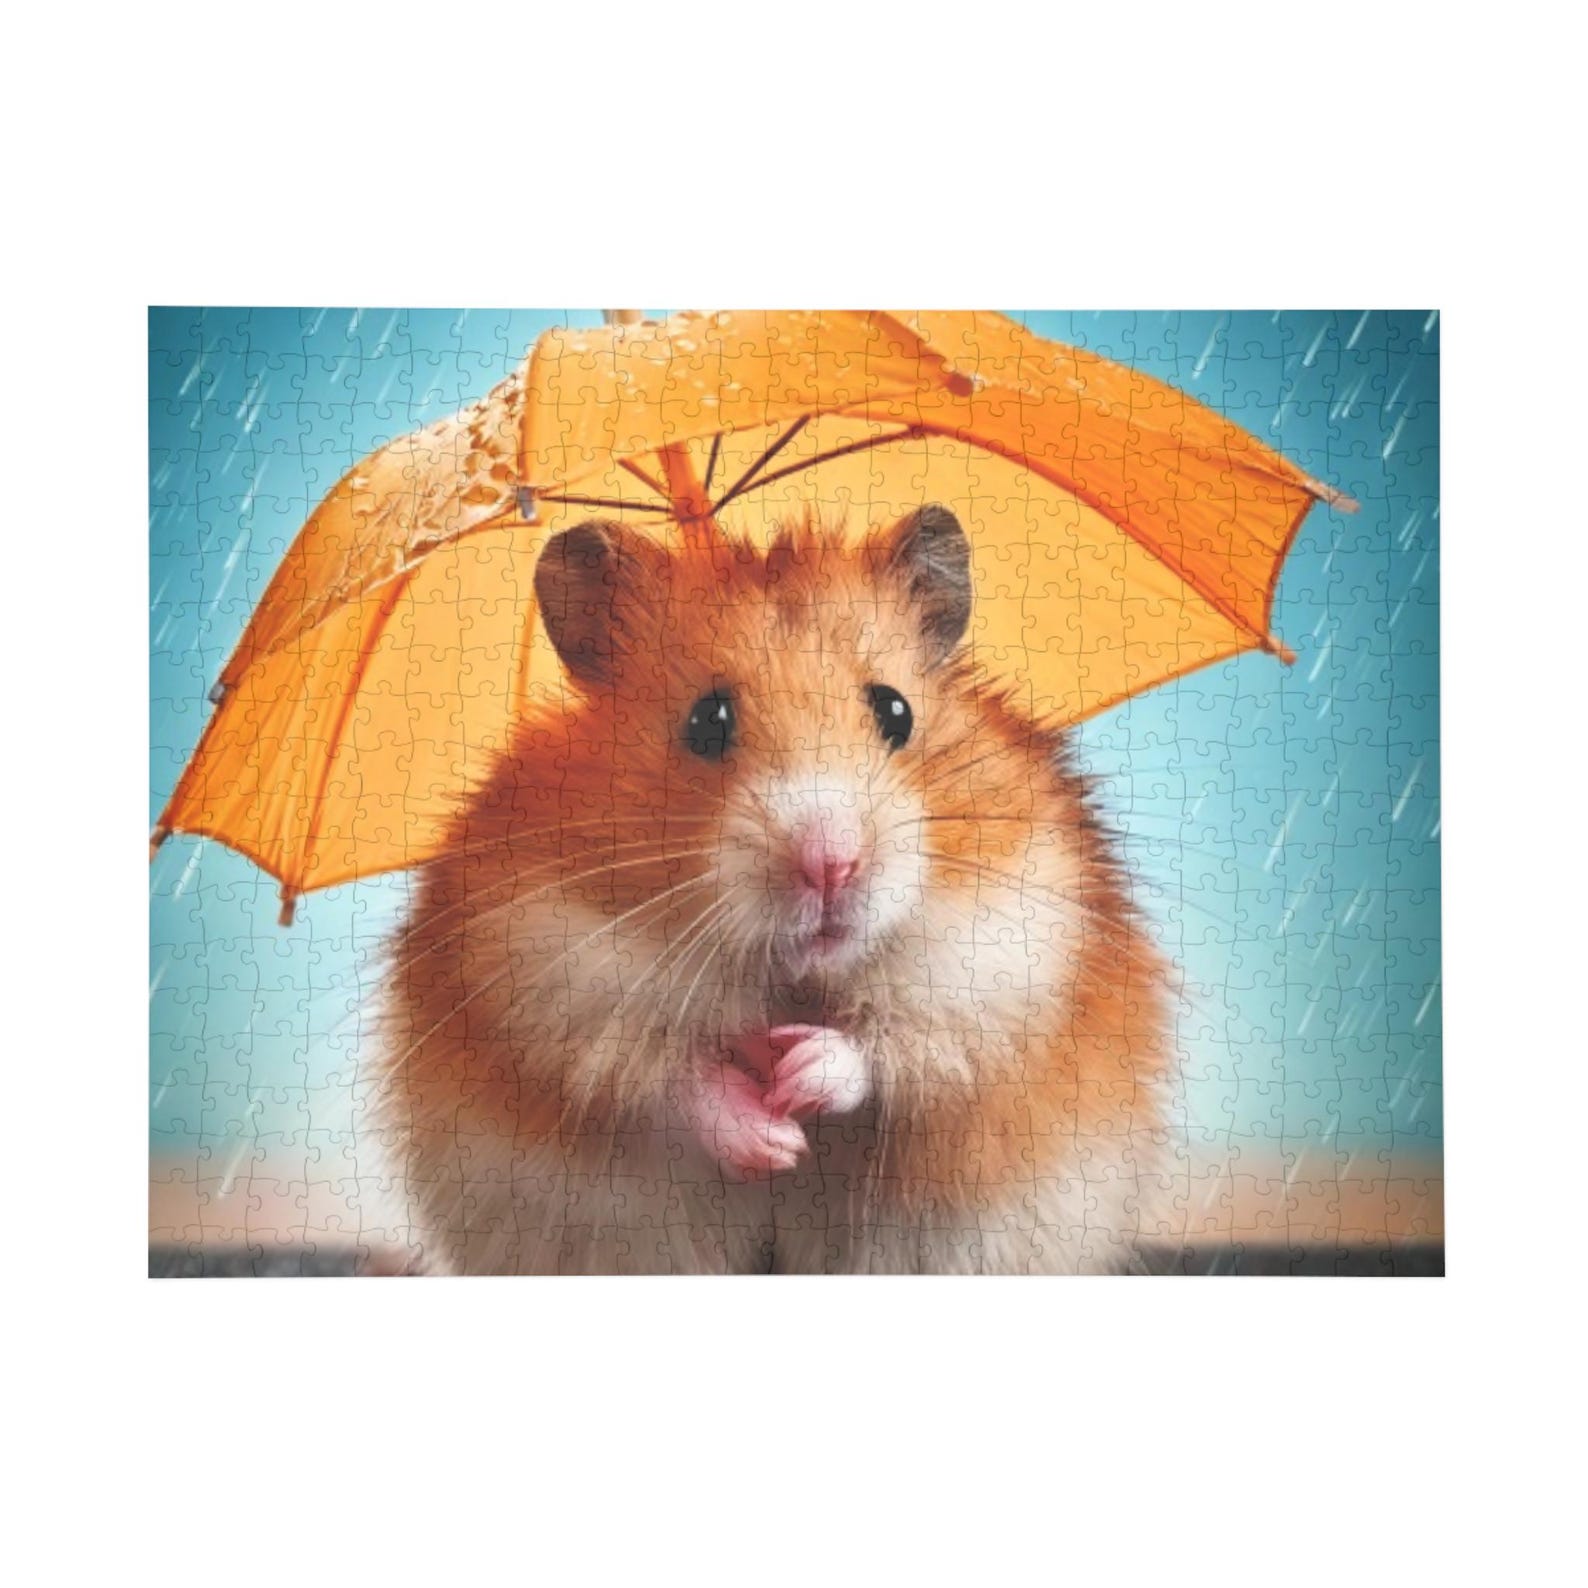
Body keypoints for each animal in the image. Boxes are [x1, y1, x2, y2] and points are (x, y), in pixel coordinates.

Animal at [375, 504, 1174, 1273]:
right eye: (707, 720)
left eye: (895, 710)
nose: (831, 867)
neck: (794, 981)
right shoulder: (543, 967)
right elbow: (665, 1075)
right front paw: (772, 1141)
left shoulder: (1009, 953)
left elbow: (888, 1050)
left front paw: (799, 1077)